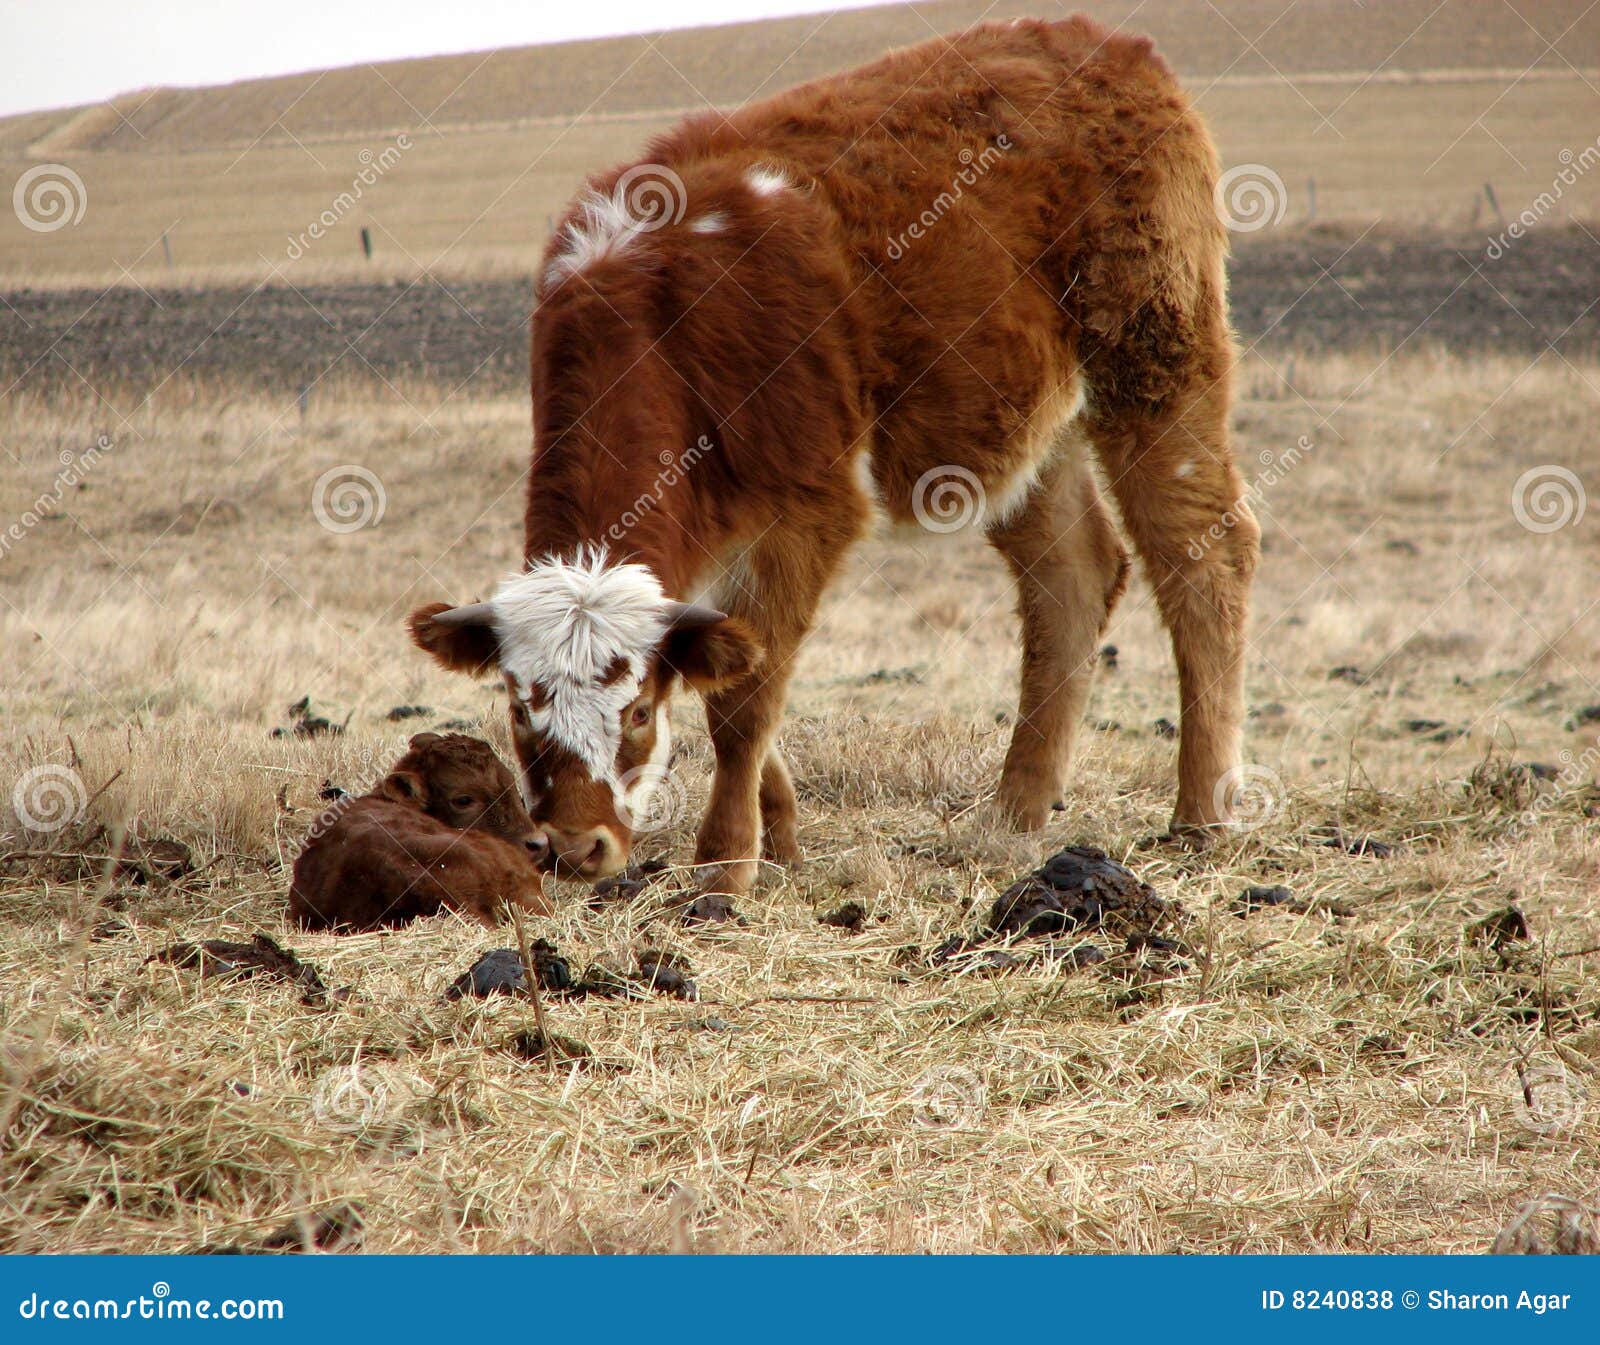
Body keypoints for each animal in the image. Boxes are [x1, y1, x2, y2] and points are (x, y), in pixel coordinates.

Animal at [409, 16, 1259, 905]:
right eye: (518, 707)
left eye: (637, 710)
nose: (576, 847)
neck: (660, 323)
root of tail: (1106, 42)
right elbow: (734, 667)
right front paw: (780, 837)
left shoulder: (808, 508)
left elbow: (743, 702)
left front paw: (725, 863)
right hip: (1017, 418)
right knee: (1071, 574)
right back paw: (1013, 814)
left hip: (1157, 360)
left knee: (1203, 557)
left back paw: (1203, 810)